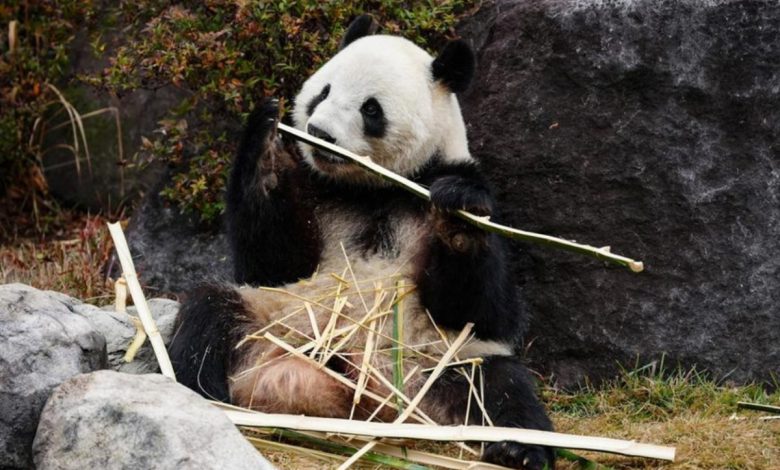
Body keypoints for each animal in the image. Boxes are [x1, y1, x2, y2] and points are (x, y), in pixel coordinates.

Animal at [169, 15, 555, 470]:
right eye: (323, 92)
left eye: (371, 109)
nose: (319, 132)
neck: (371, 188)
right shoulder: (315, 191)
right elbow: (272, 264)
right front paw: (268, 140)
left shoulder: (441, 184)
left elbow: (485, 310)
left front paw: (457, 214)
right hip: (274, 321)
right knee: (208, 317)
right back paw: (207, 399)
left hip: (440, 361)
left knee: (500, 387)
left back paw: (517, 449)